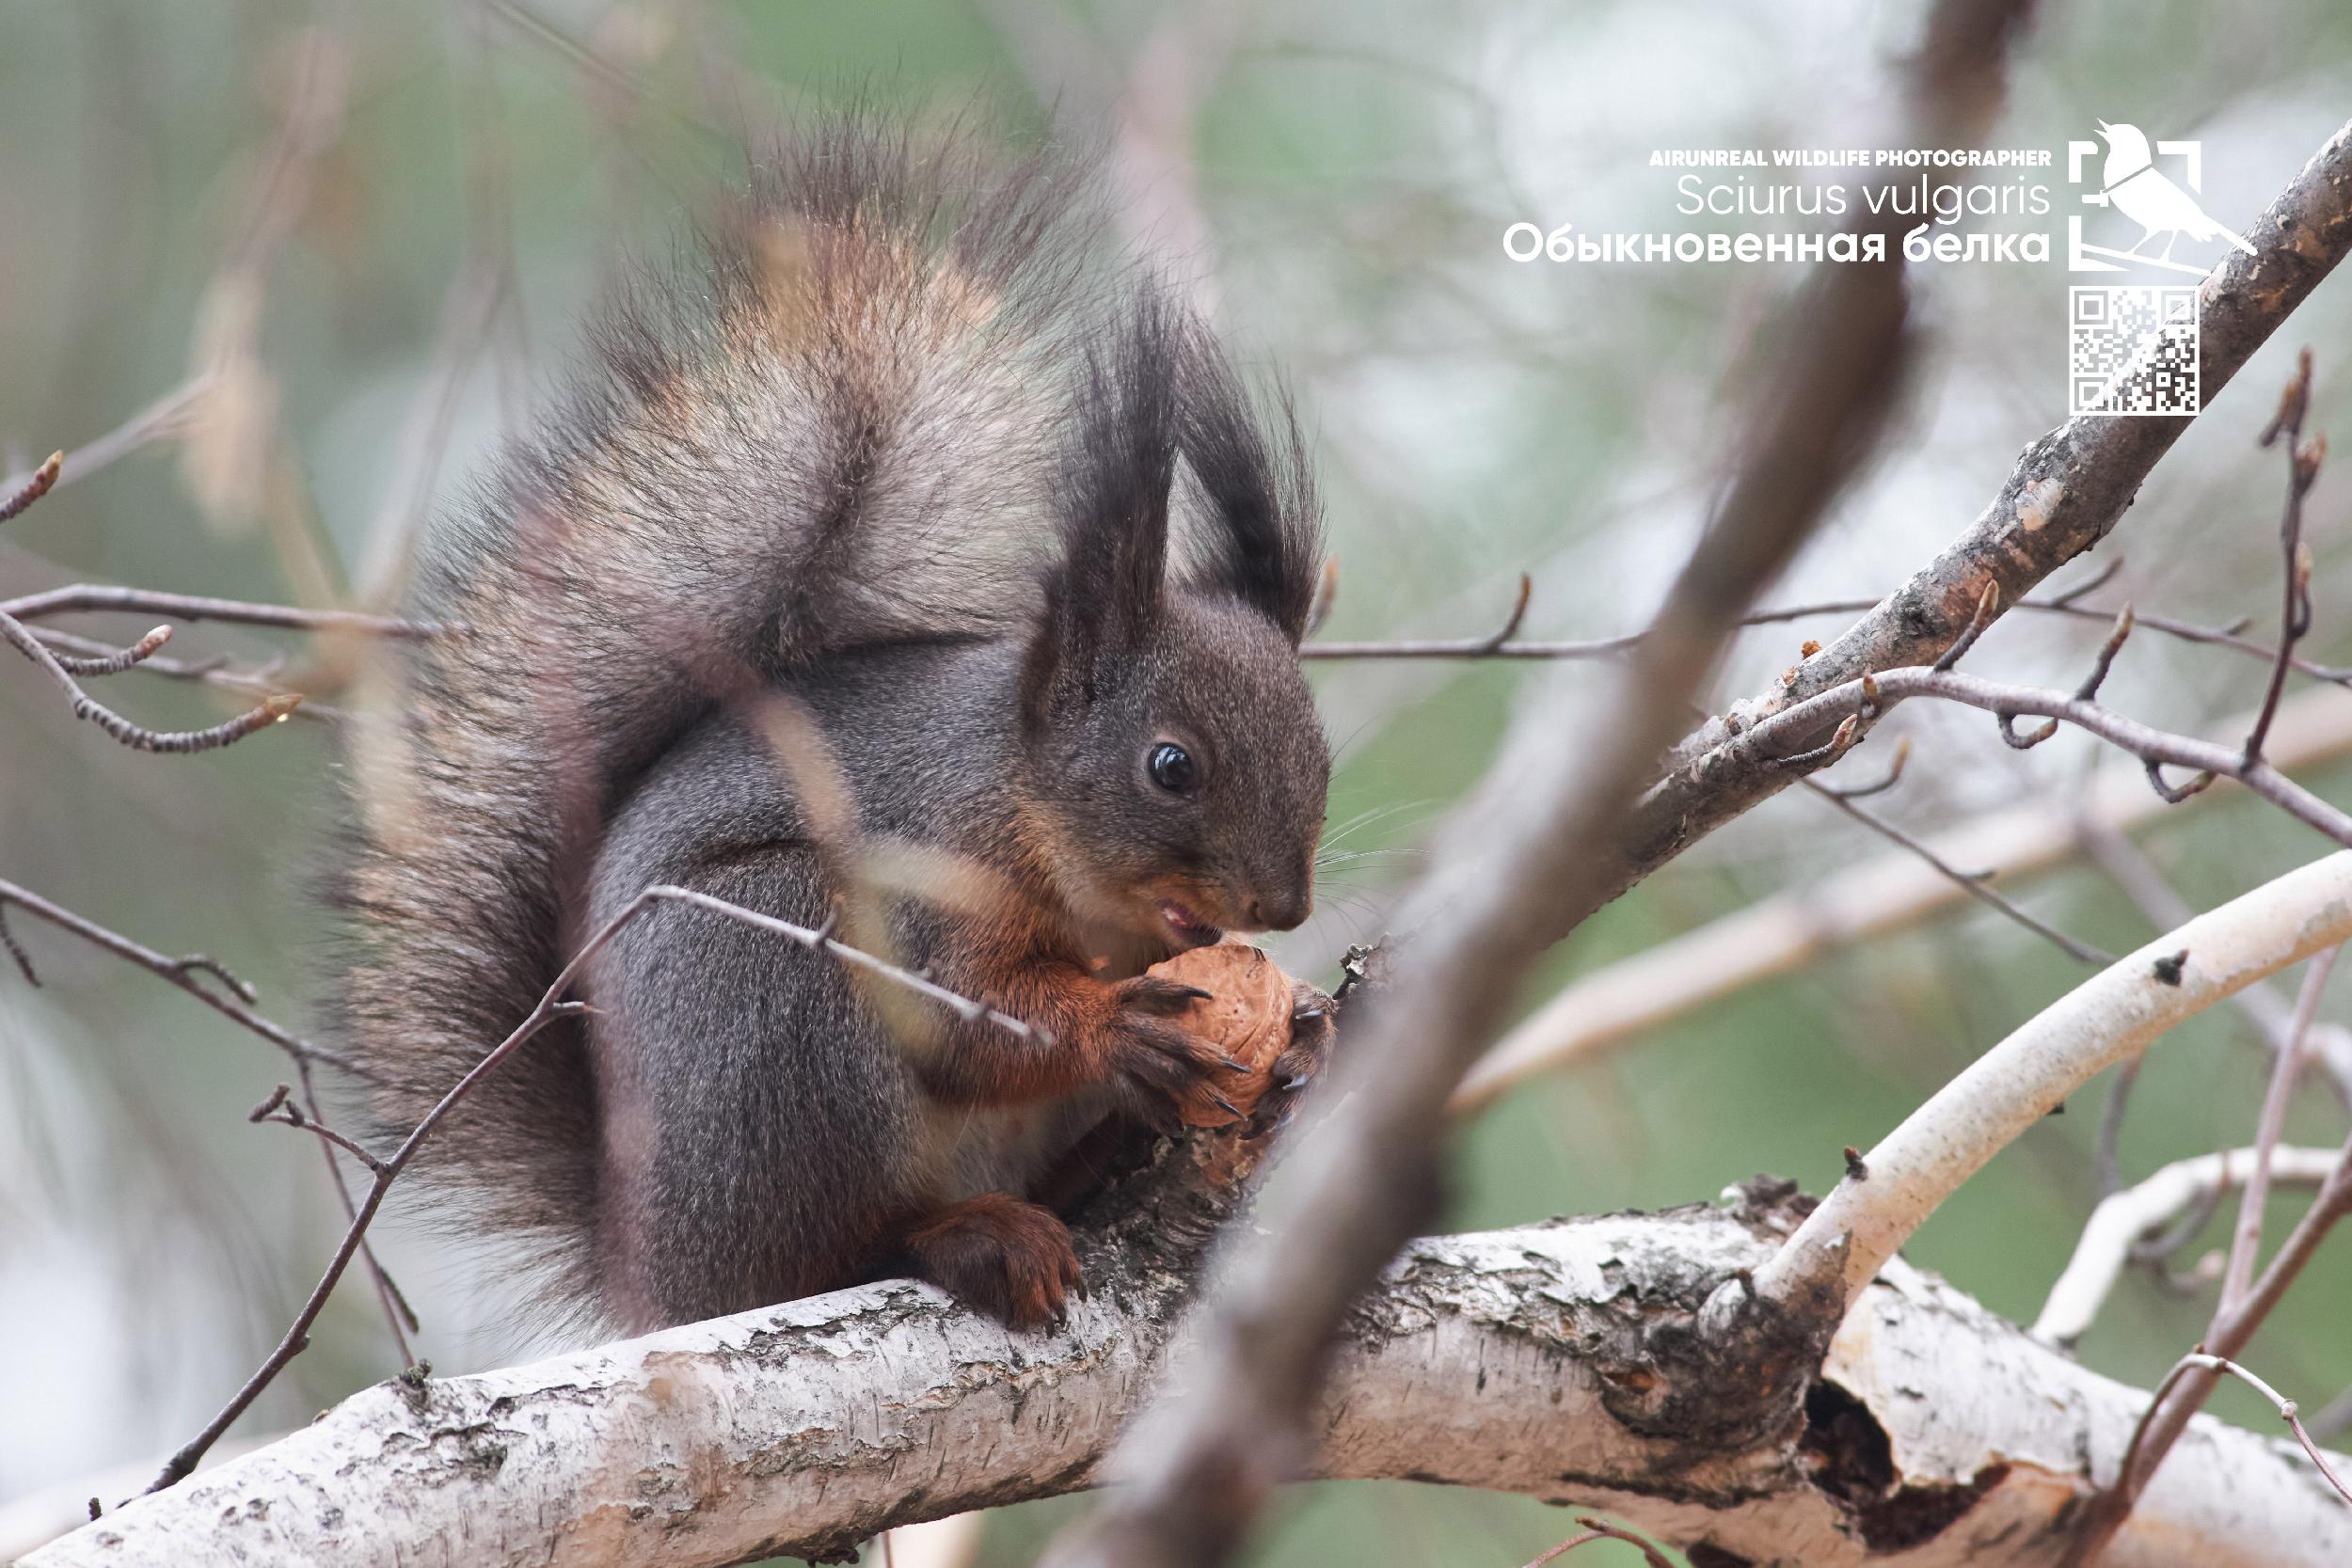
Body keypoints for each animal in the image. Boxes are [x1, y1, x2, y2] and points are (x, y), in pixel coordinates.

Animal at [322, 122, 1336, 1335]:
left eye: (1322, 752)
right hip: (782, 997)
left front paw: (1306, 1027)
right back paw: (967, 1234)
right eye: (1170, 765)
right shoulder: (934, 865)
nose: (1283, 907)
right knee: (834, 1253)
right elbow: (963, 1020)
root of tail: (652, 1269)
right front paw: (1112, 1028)